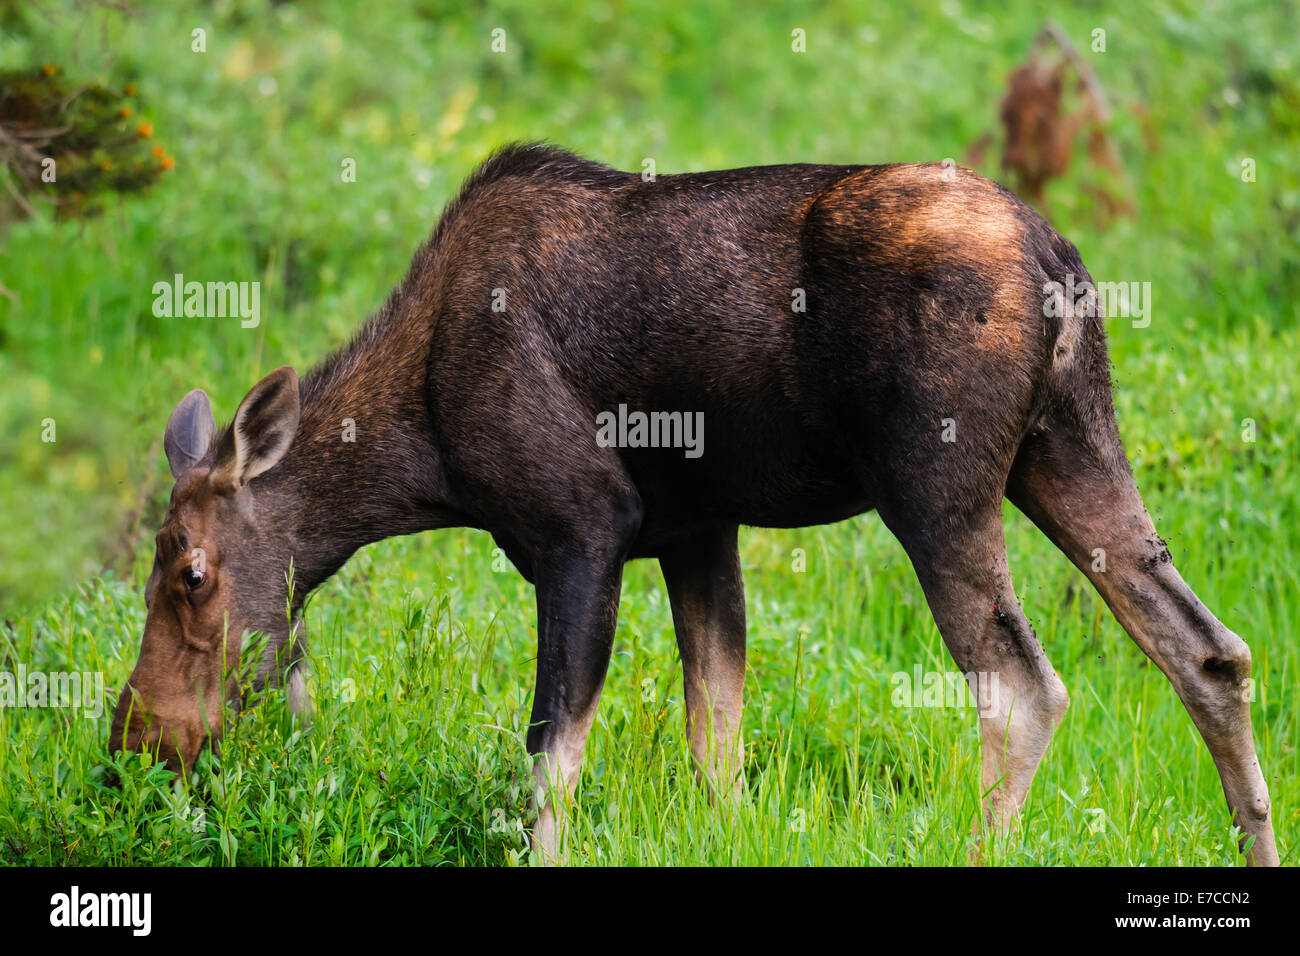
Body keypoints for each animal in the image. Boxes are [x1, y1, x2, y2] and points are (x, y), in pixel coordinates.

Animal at [109, 143, 1279, 865]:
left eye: (190, 571)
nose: (135, 742)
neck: (422, 453)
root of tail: (1059, 258)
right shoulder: (696, 531)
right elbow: (715, 739)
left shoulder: (581, 524)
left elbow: (548, 757)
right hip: (1066, 448)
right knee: (1209, 649)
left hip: (936, 485)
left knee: (1023, 685)